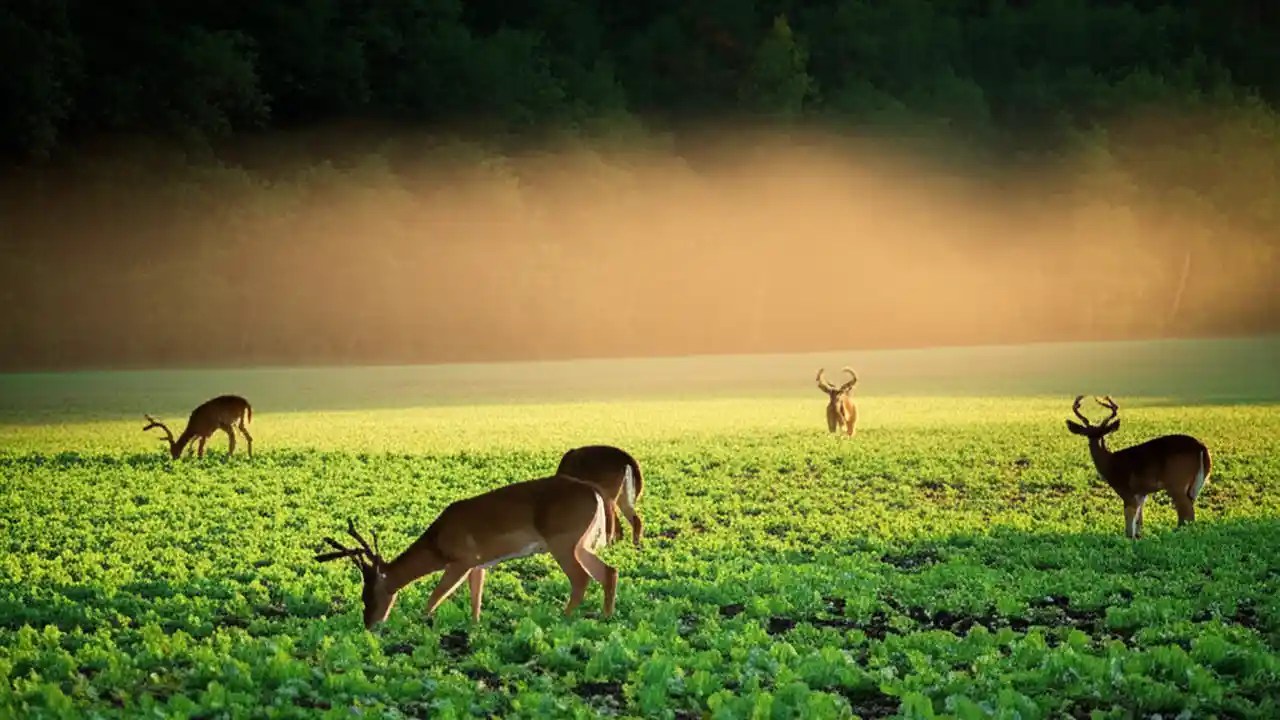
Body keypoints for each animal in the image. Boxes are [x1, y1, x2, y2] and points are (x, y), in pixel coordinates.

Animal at [315, 474, 618, 630]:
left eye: (368, 595)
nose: (369, 625)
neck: (437, 543)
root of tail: (595, 492)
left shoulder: (461, 560)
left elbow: (435, 596)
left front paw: (420, 623)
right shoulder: (478, 564)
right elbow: (476, 600)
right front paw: (474, 628)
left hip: (563, 542)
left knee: (581, 578)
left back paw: (562, 619)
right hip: (581, 543)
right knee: (608, 571)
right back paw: (606, 618)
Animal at [1066, 395, 1212, 539]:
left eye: (1102, 434)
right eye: (1087, 433)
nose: (1094, 443)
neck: (1110, 464)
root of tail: (1201, 447)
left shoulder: (1126, 491)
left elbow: (1129, 519)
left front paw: (1129, 538)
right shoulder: (1141, 492)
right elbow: (1139, 519)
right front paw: (1139, 536)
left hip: (1177, 482)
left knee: (1187, 513)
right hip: (1196, 484)